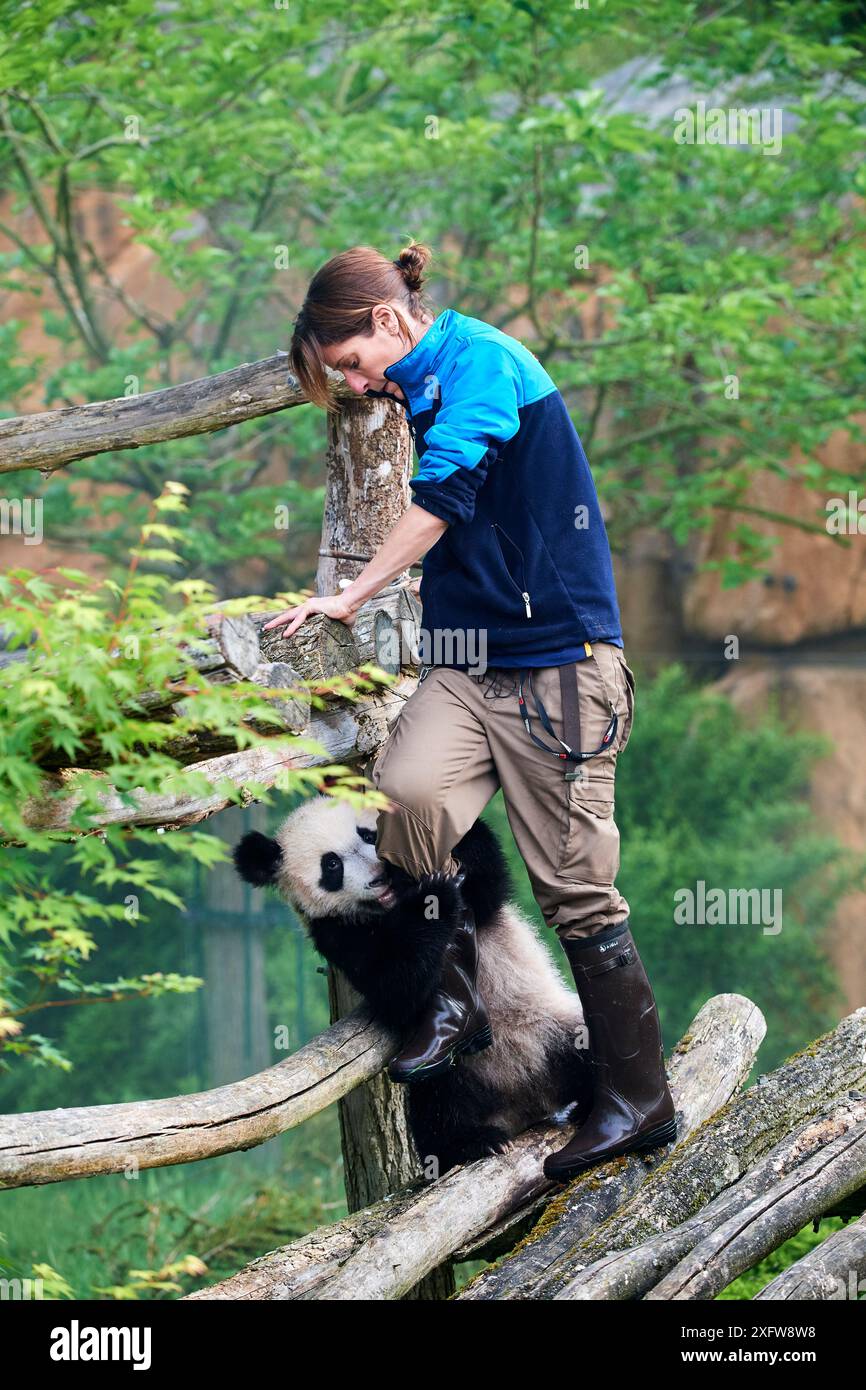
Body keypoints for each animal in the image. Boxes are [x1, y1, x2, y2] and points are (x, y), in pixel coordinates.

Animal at [232, 795, 593, 1175]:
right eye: (331, 865)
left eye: (368, 834)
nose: (378, 877)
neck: (391, 905)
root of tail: (528, 1103)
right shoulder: (338, 936)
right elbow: (397, 987)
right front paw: (435, 897)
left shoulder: (482, 904)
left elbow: (486, 879)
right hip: (455, 1068)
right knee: (438, 1107)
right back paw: (473, 1142)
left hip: (547, 1023)